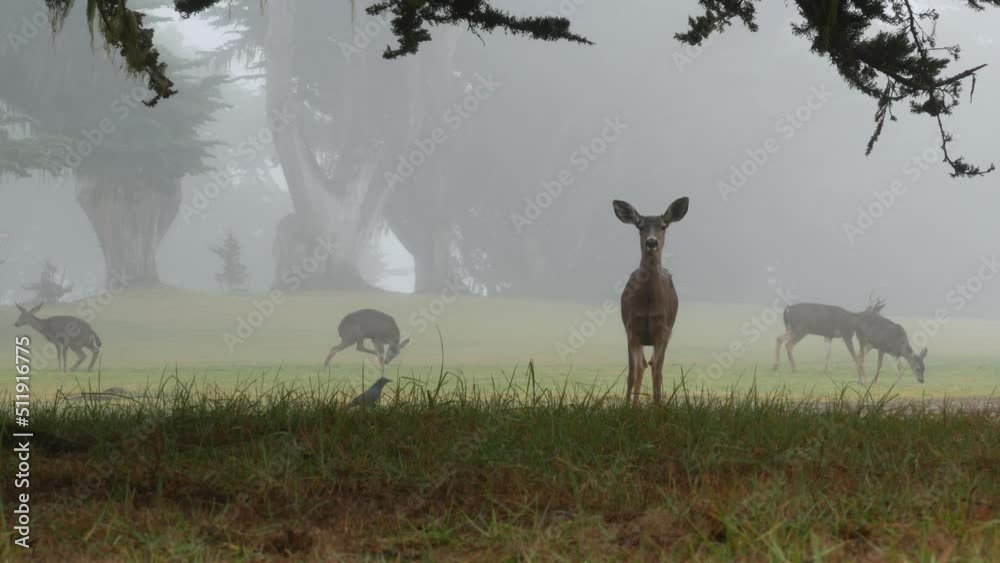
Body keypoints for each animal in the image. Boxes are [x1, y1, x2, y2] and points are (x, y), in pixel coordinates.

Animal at [613, 197, 689, 405]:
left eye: (663, 226)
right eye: (640, 226)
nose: (652, 242)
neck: (648, 303)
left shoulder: (662, 330)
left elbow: (658, 374)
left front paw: (658, 407)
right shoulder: (632, 329)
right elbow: (632, 374)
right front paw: (628, 407)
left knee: (651, 365)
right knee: (642, 366)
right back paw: (635, 405)